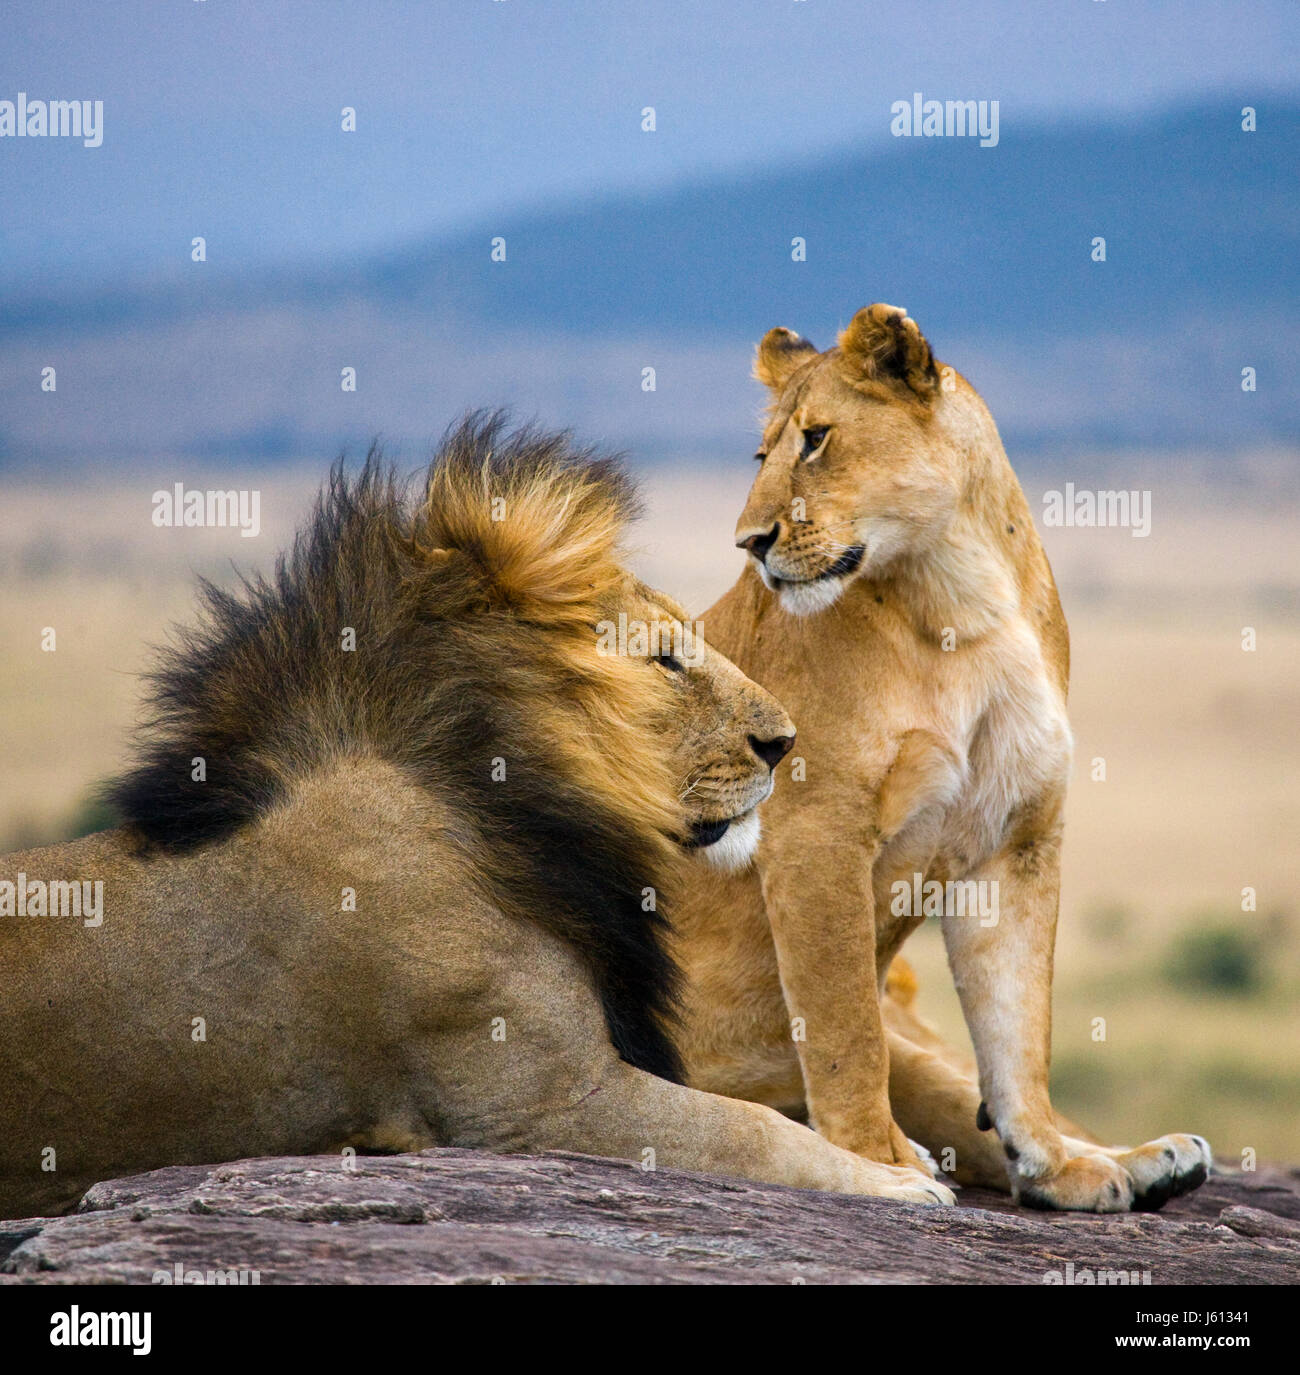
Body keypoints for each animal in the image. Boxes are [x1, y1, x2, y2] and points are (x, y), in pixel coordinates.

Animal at [0, 415, 952, 1221]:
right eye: (664, 658)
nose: (785, 741)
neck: (496, 797)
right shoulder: (542, 1102)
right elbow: (756, 1128)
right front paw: (903, 1182)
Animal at [669, 306, 1212, 1211]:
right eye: (762, 454)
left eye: (816, 439)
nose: (750, 540)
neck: (961, 599)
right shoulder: (813, 831)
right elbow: (846, 1029)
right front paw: (874, 1163)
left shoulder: (1015, 839)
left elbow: (1019, 1029)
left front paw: (1054, 1168)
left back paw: (1150, 1159)